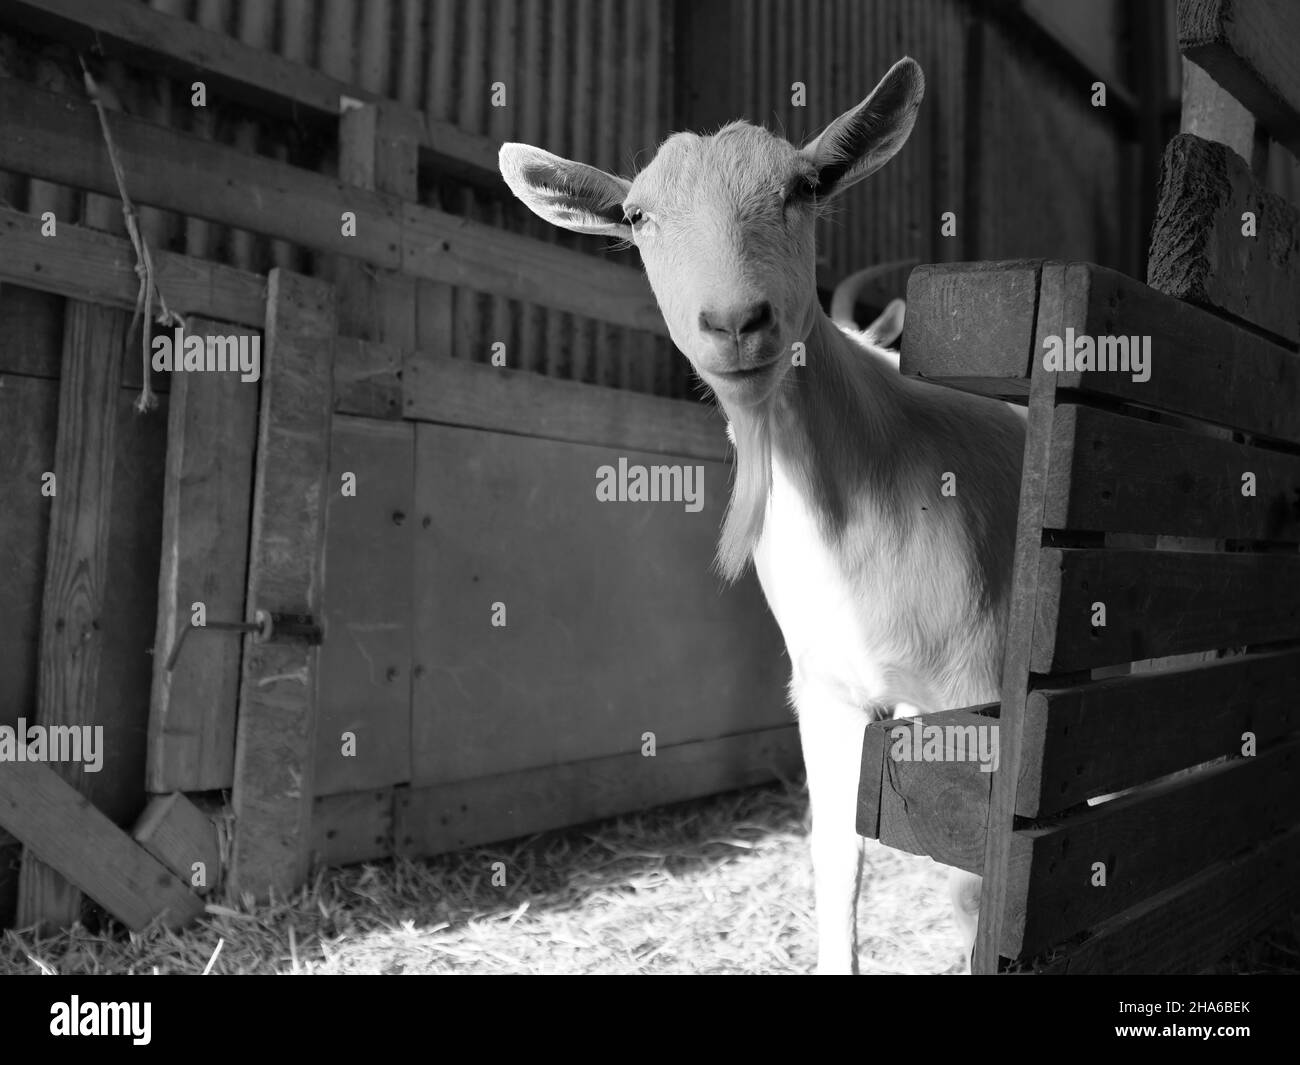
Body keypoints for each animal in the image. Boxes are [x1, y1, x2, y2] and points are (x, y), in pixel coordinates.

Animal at [500, 57, 1025, 974]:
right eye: (635, 215)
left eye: (804, 186)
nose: (735, 322)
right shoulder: (829, 692)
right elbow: (836, 863)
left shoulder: (977, 692)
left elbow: (972, 889)